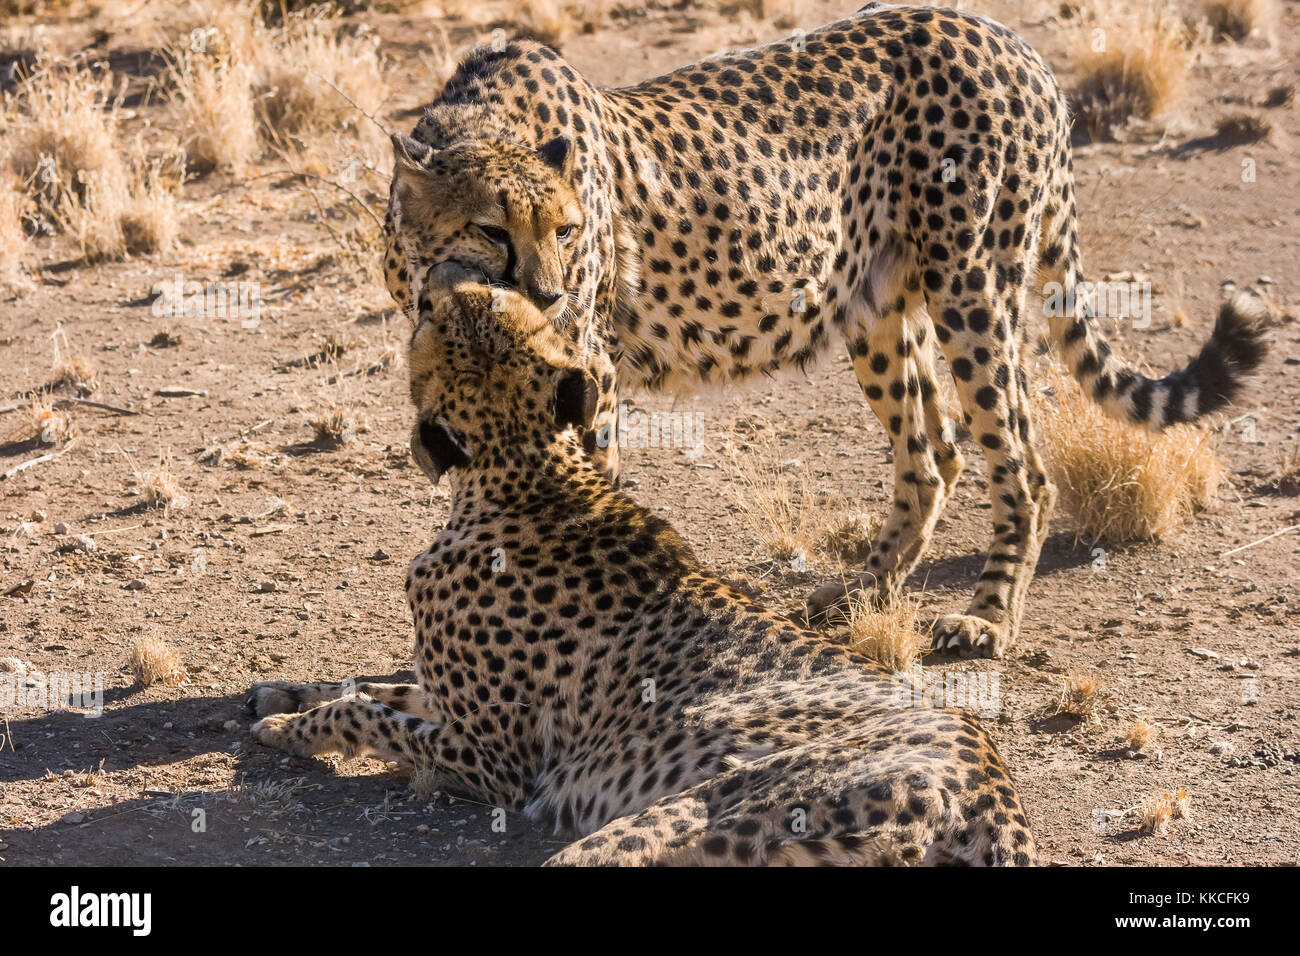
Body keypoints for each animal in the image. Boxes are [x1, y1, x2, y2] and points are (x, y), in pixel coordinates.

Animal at [247, 261, 1036, 866]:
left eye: (431, 315)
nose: (443, 277)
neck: (526, 469)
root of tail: (991, 785)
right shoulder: (452, 707)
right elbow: (375, 684)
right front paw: (277, 697)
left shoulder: (498, 761)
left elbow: (368, 712)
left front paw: (287, 731)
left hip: (693, 811)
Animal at [381, 1, 1268, 659]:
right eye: (493, 230)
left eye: (566, 230)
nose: (553, 294)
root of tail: (1005, 37)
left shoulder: (588, 374)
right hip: (877, 305)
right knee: (934, 452)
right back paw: (867, 589)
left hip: (972, 283)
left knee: (1019, 460)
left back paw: (986, 618)